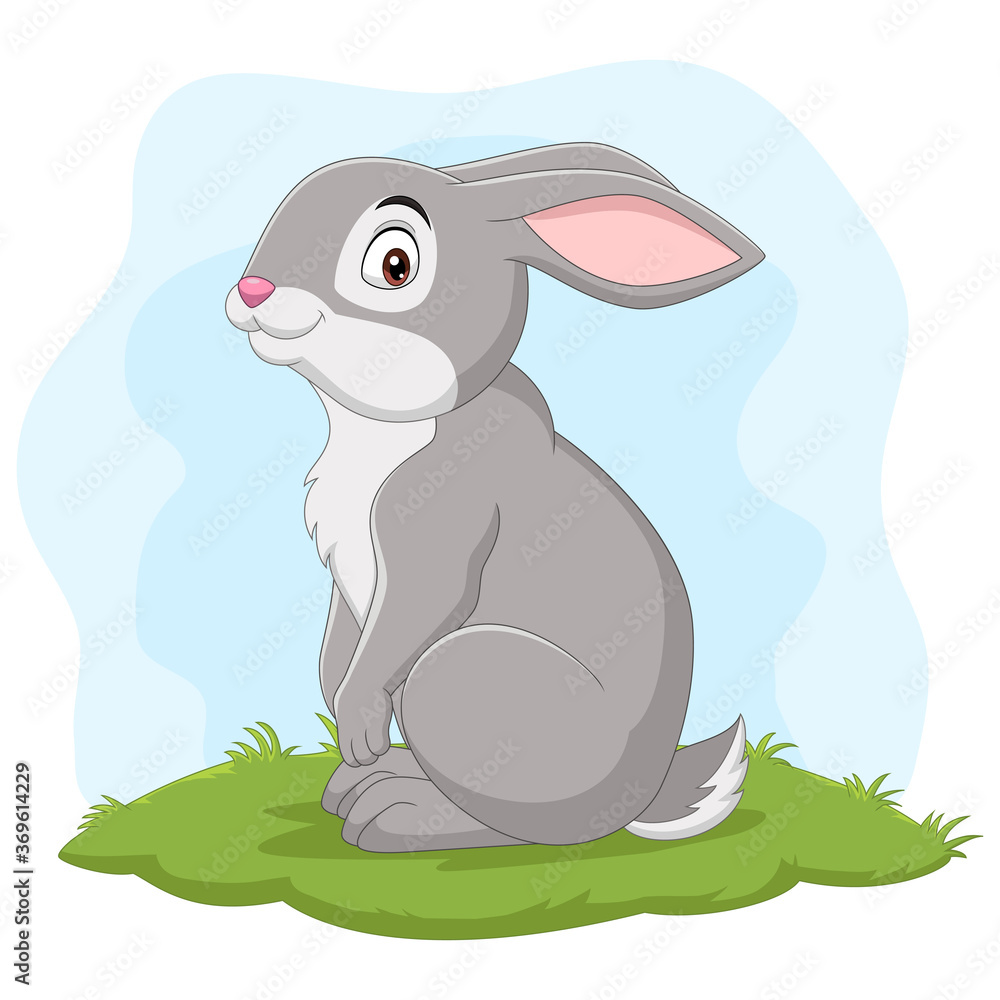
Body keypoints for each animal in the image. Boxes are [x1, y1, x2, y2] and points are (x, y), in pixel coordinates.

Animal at [225, 142, 763, 853]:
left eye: (394, 264)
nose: (251, 291)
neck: (387, 429)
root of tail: (639, 798)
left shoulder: (437, 535)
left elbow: (406, 622)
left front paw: (358, 730)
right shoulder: (346, 579)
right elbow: (337, 648)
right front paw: (347, 727)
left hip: (456, 673)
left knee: (521, 825)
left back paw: (397, 813)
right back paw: (370, 783)